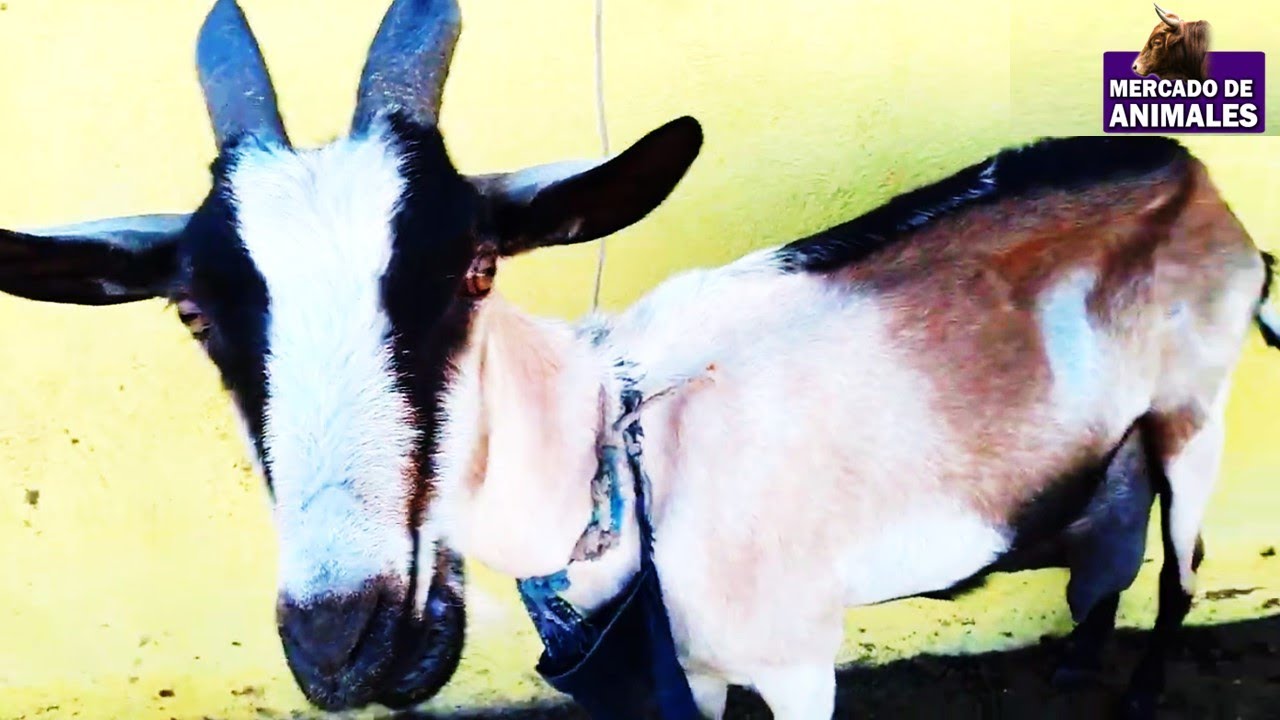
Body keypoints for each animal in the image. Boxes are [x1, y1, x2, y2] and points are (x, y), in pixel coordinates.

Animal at [1, 1, 1276, 718]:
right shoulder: (696, 672)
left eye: (476, 266)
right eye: (192, 311)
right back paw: (1072, 671)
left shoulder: (798, 660)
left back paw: (1143, 690)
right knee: (1108, 544)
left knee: (1178, 565)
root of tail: (1189, 174)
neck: (625, 466)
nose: (347, 642)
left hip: (1195, 414)